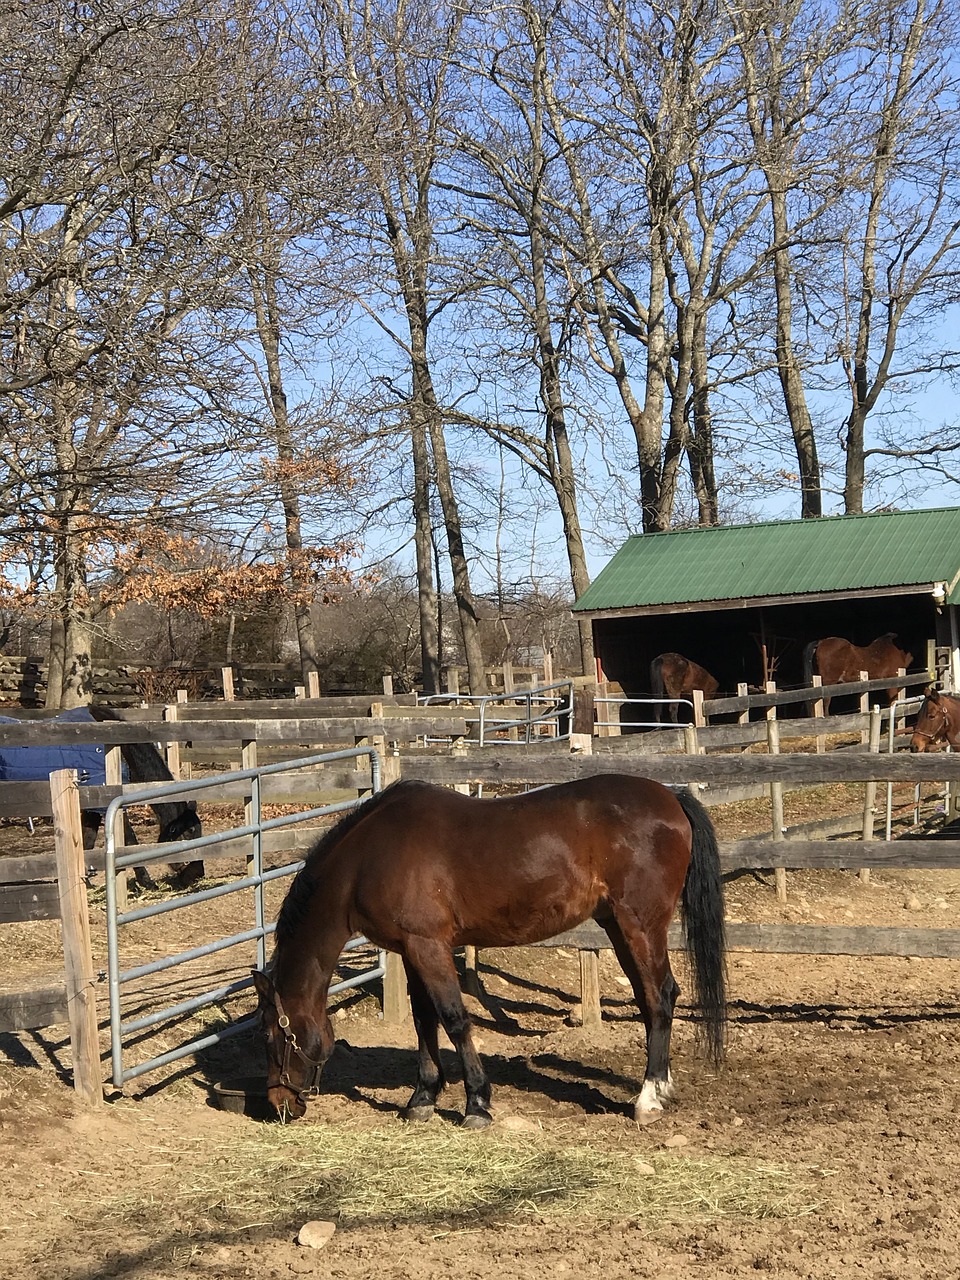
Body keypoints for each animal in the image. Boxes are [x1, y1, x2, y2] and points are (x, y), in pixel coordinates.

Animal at [0, 705, 203, 887]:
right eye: (190, 832)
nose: (197, 874)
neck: (120, 749)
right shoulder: (110, 805)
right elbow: (129, 840)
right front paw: (147, 882)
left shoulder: (93, 808)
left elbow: (88, 841)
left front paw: (86, 882)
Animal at [253, 774, 727, 1127]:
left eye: (272, 1034)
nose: (278, 1104)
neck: (369, 856)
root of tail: (671, 796)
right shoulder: (411, 949)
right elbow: (424, 1021)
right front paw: (422, 1098)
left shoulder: (428, 946)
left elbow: (455, 1019)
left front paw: (476, 1104)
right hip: (616, 925)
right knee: (653, 999)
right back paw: (662, 1086)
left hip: (639, 926)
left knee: (659, 997)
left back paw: (648, 1100)